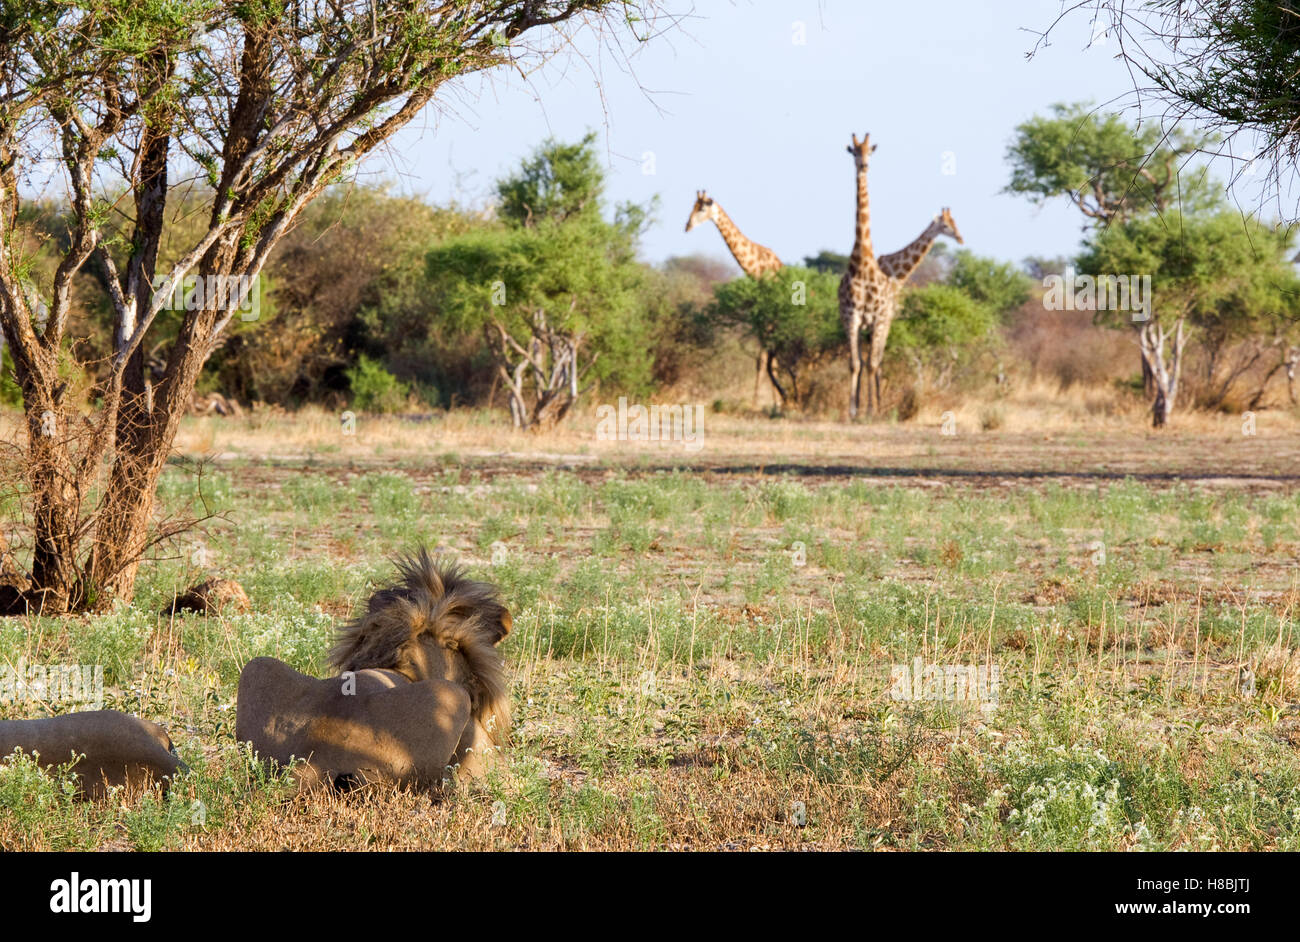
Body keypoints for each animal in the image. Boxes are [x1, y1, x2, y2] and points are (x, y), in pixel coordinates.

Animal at [685, 191, 784, 406]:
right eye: (692, 206)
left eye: (702, 208)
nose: (686, 227)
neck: (758, 270)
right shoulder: (760, 319)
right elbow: (763, 361)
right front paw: (766, 401)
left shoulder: (769, 320)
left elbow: (767, 360)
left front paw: (766, 403)